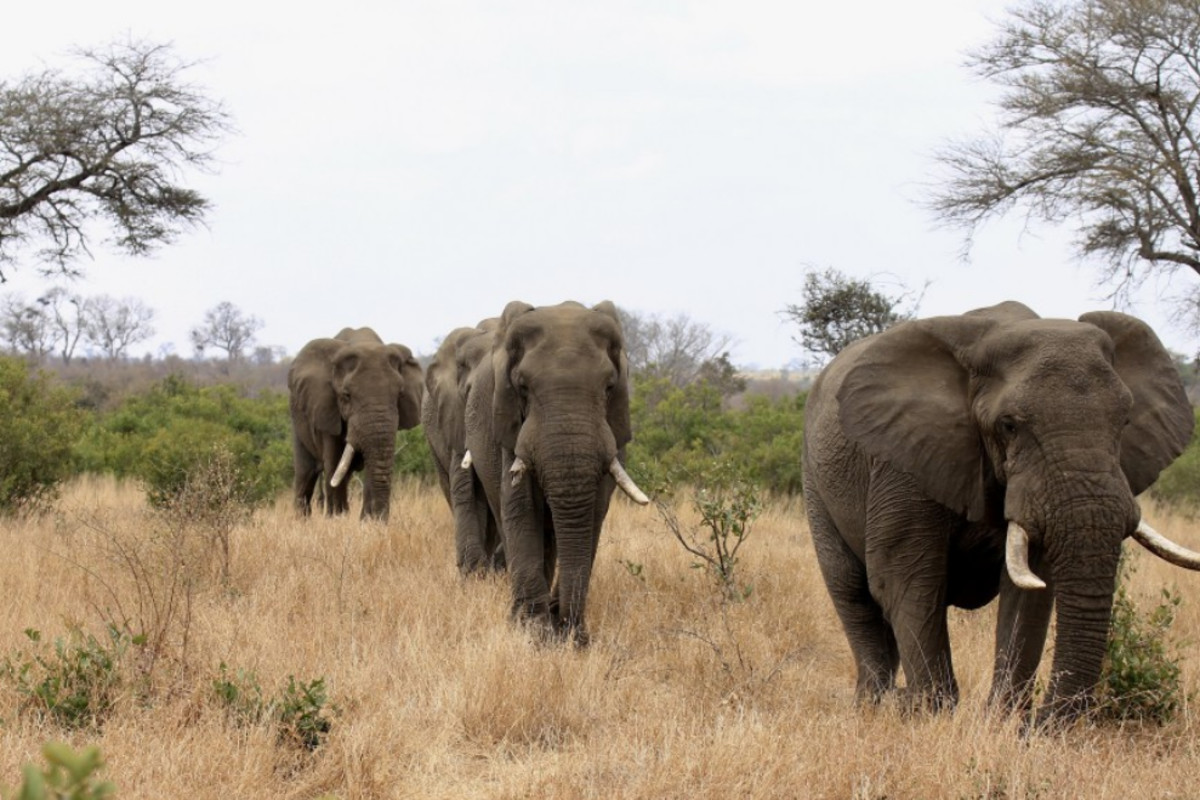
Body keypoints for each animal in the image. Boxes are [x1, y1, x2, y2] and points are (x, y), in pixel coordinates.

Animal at [288, 327, 423, 521]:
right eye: (346, 396)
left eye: (400, 395)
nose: (381, 520)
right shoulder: (327, 409)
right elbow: (333, 464)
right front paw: (336, 521)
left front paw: (367, 523)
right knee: (305, 474)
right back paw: (303, 521)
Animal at [463, 300, 649, 645]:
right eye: (522, 387)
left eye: (610, 387)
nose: (571, 629)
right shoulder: (509, 426)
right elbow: (520, 507)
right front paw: (536, 634)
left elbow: (594, 512)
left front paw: (567, 635)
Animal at [802, 300, 1200, 727]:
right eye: (1009, 426)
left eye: (1125, 421)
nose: (1043, 723)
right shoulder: (904, 461)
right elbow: (905, 579)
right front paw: (930, 715)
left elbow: (1031, 589)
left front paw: (1003, 722)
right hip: (816, 480)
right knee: (851, 590)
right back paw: (874, 705)